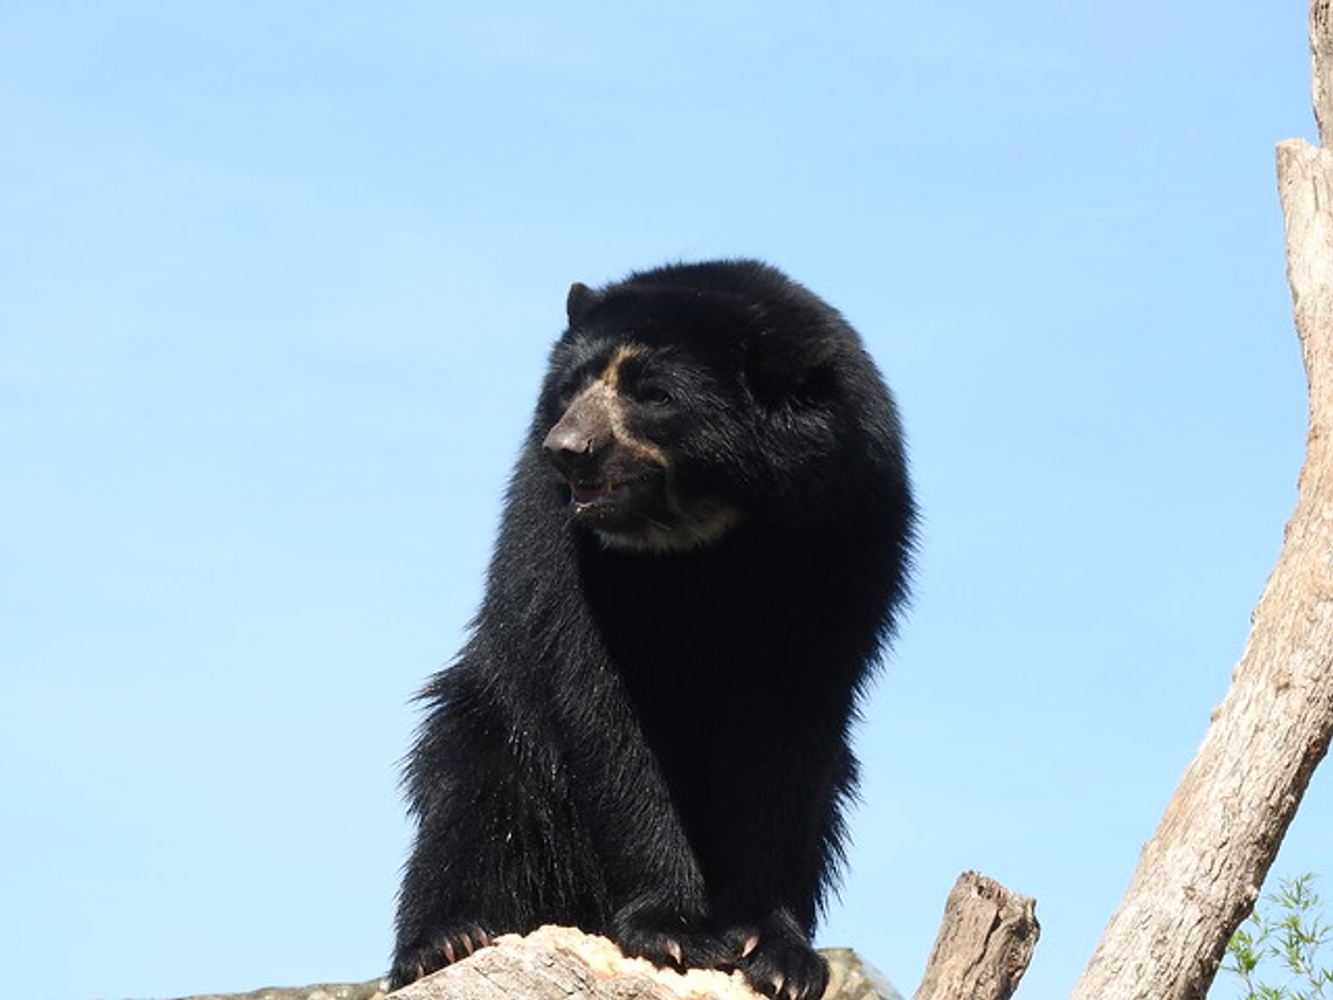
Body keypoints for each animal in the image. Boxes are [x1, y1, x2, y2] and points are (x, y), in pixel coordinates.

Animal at [389, 260, 915, 1000]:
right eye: (570, 387)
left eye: (655, 395)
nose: (568, 450)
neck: (707, 519)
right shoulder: (559, 540)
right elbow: (599, 704)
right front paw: (674, 929)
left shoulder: (845, 531)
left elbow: (788, 729)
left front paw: (778, 954)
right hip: (502, 729)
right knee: (475, 796)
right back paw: (446, 939)